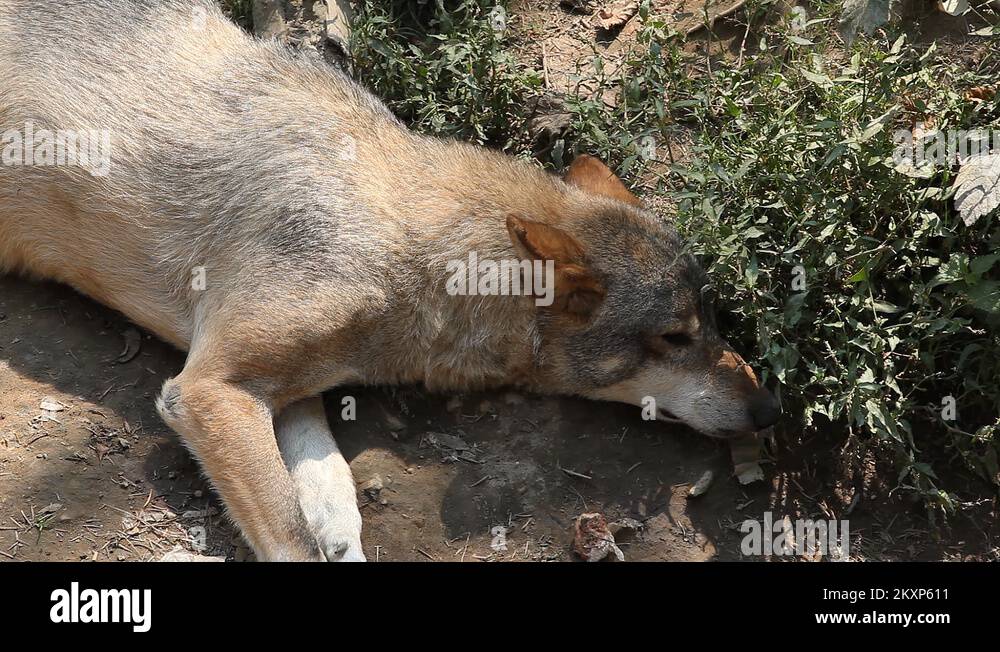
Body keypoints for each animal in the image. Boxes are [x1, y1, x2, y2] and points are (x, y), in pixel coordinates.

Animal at [0, 0, 780, 561]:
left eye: (713, 323)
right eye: (676, 337)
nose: (771, 410)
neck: (402, 245)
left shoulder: (286, 392)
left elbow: (334, 504)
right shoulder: (207, 391)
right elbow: (292, 537)